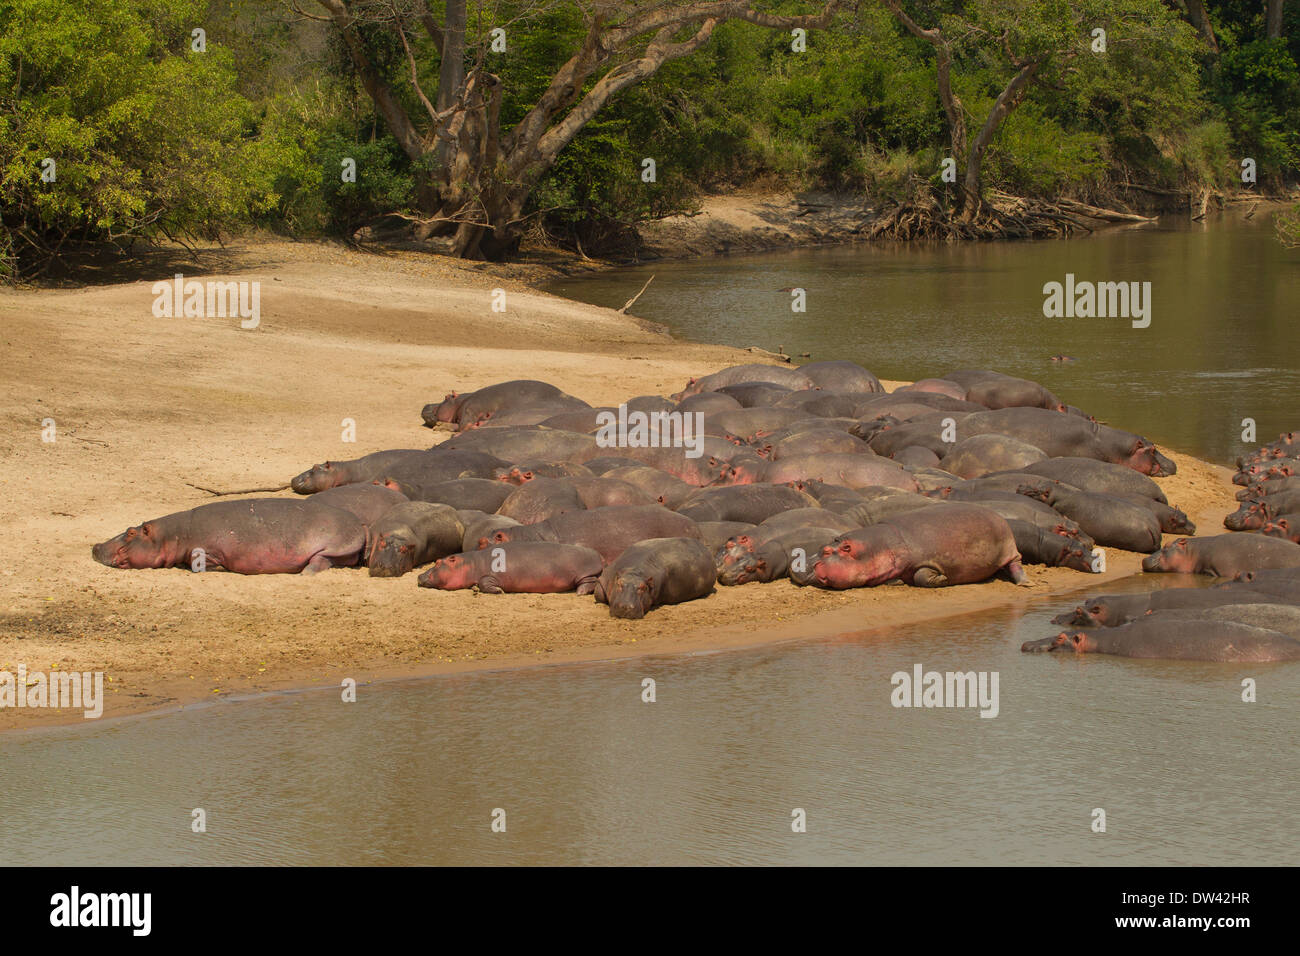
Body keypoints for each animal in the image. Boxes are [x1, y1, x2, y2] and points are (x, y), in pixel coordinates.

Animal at [92, 499, 365, 574]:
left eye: (131, 532)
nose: (95, 545)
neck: (174, 535)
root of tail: (359, 525)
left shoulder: (206, 550)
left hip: (333, 546)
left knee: (322, 561)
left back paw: (305, 573)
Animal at [417, 542, 603, 594]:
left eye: (438, 562)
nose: (419, 576)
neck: (471, 563)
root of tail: (598, 556)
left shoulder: (490, 575)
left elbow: (485, 582)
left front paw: (498, 591)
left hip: (582, 574)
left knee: (590, 581)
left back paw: (580, 592)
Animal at [808, 503, 1026, 588]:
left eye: (826, 552)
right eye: (820, 548)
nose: (809, 564)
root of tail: (998, 515)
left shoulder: (928, 560)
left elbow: (921, 575)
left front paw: (943, 579)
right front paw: (897, 582)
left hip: (1009, 549)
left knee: (1016, 563)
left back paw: (1025, 583)